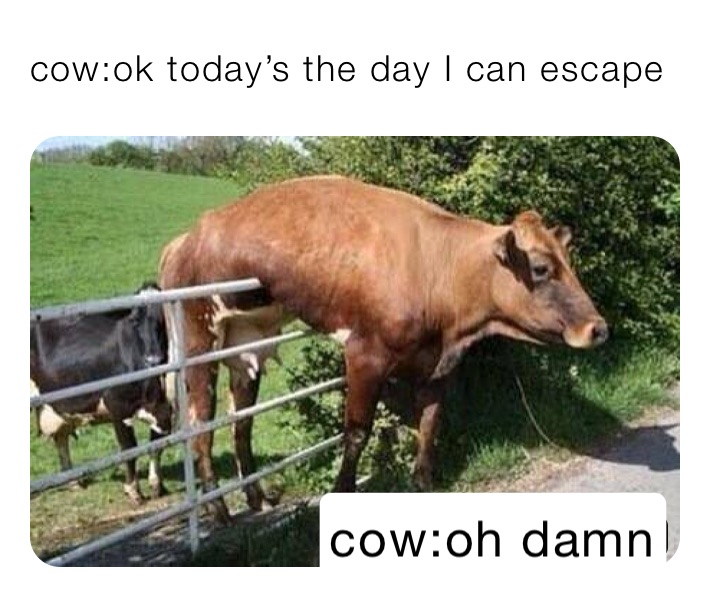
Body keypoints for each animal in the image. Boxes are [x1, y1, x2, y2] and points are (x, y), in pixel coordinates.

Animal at [30, 283, 173, 504]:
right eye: (134, 320)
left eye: (164, 317)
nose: (153, 359)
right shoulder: (118, 407)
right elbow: (130, 448)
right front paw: (133, 490)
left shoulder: (165, 409)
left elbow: (156, 445)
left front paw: (157, 485)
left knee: (61, 438)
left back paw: (74, 482)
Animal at [158, 175, 608, 522]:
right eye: (541, 269)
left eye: (569, 262)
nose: (598, 329)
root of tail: (185, 239)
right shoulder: (365, 355)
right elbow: (357, 431)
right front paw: (342, 492)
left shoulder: (439, 364)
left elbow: (430, 421)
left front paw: (423, 481)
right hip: (198, 340)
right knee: (200, 426)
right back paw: (218, 512)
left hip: (246, 342)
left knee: (241, 423)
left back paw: (257, 498)